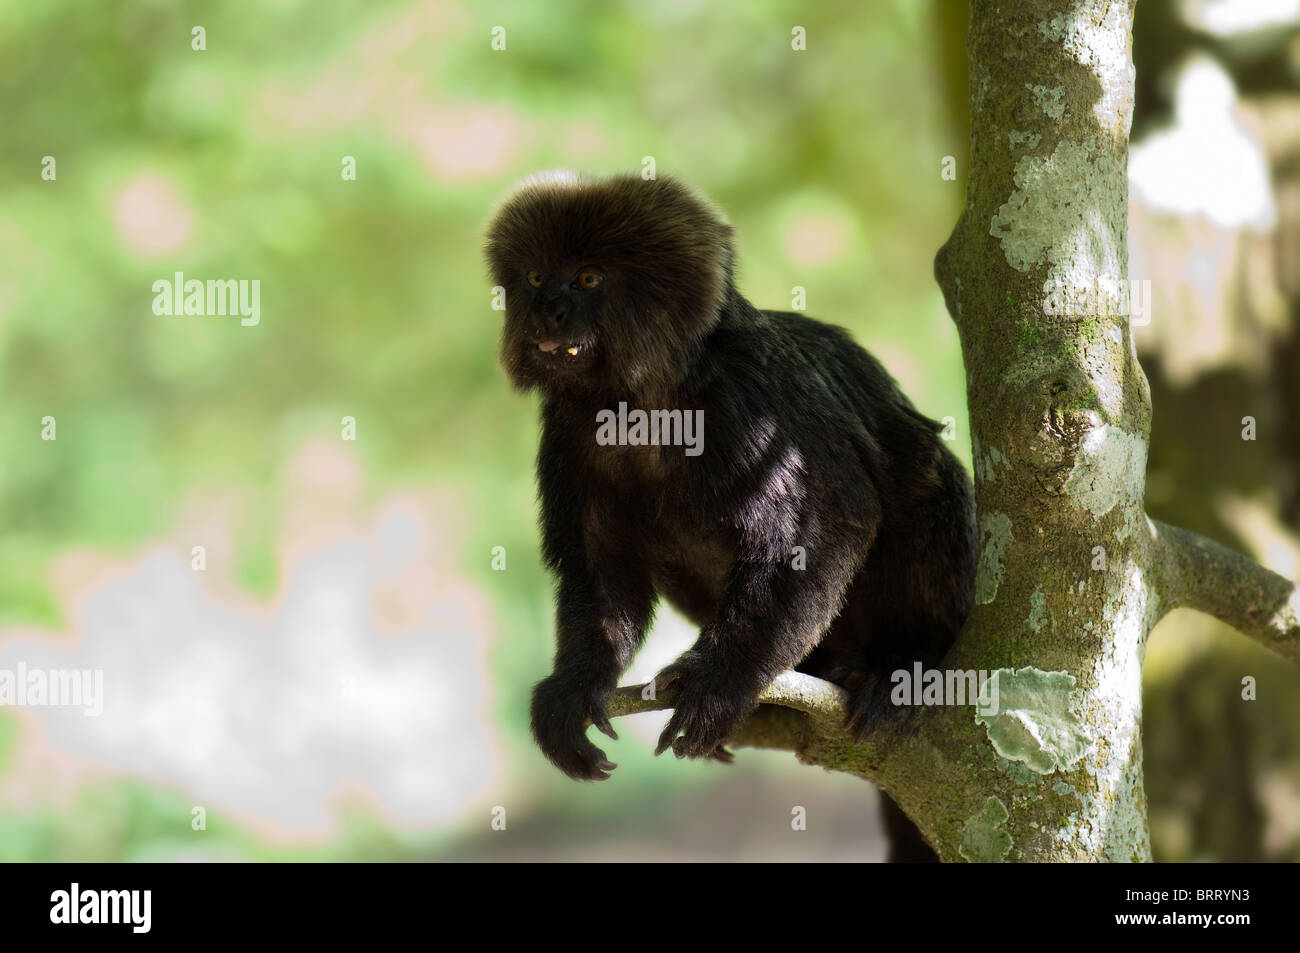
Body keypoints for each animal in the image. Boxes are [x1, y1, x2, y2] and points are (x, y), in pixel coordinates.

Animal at [485, 171, 977, 861]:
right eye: (535, 278)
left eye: (586, 279)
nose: (547, 309)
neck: (643, 403)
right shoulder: (566, 428)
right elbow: (600, 567)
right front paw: (578, 682)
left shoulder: (755, 400)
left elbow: (836, 520)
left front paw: (722, 683)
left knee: (925, 475)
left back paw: (901, 661)